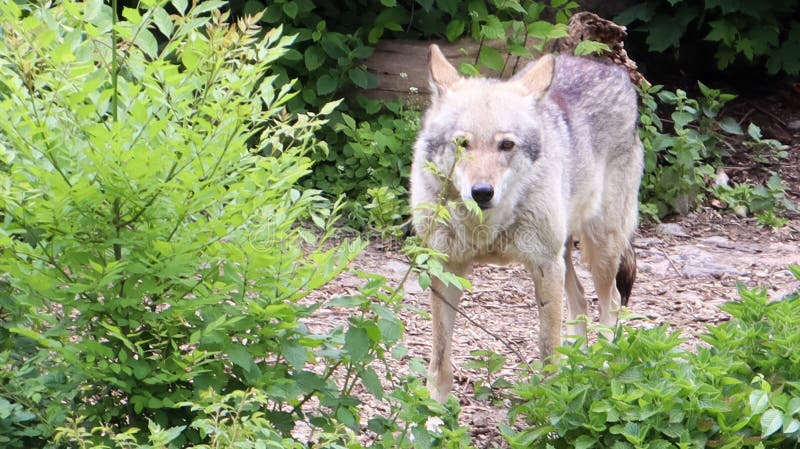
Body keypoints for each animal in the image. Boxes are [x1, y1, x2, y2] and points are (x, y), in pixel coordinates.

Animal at [410, 45, 643, 402]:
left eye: (506, 145)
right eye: (463, 143)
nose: (482, 192)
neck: (486, 226)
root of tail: (611, 70)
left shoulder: (544, 266)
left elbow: (548, 349)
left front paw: (552, 407)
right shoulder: (446, 266)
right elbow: (440, 355)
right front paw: (432, 410)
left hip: (597, 250)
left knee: (612, 305)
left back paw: (603, 367)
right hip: (566, 256)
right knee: (580, 301)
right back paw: (579, 367)